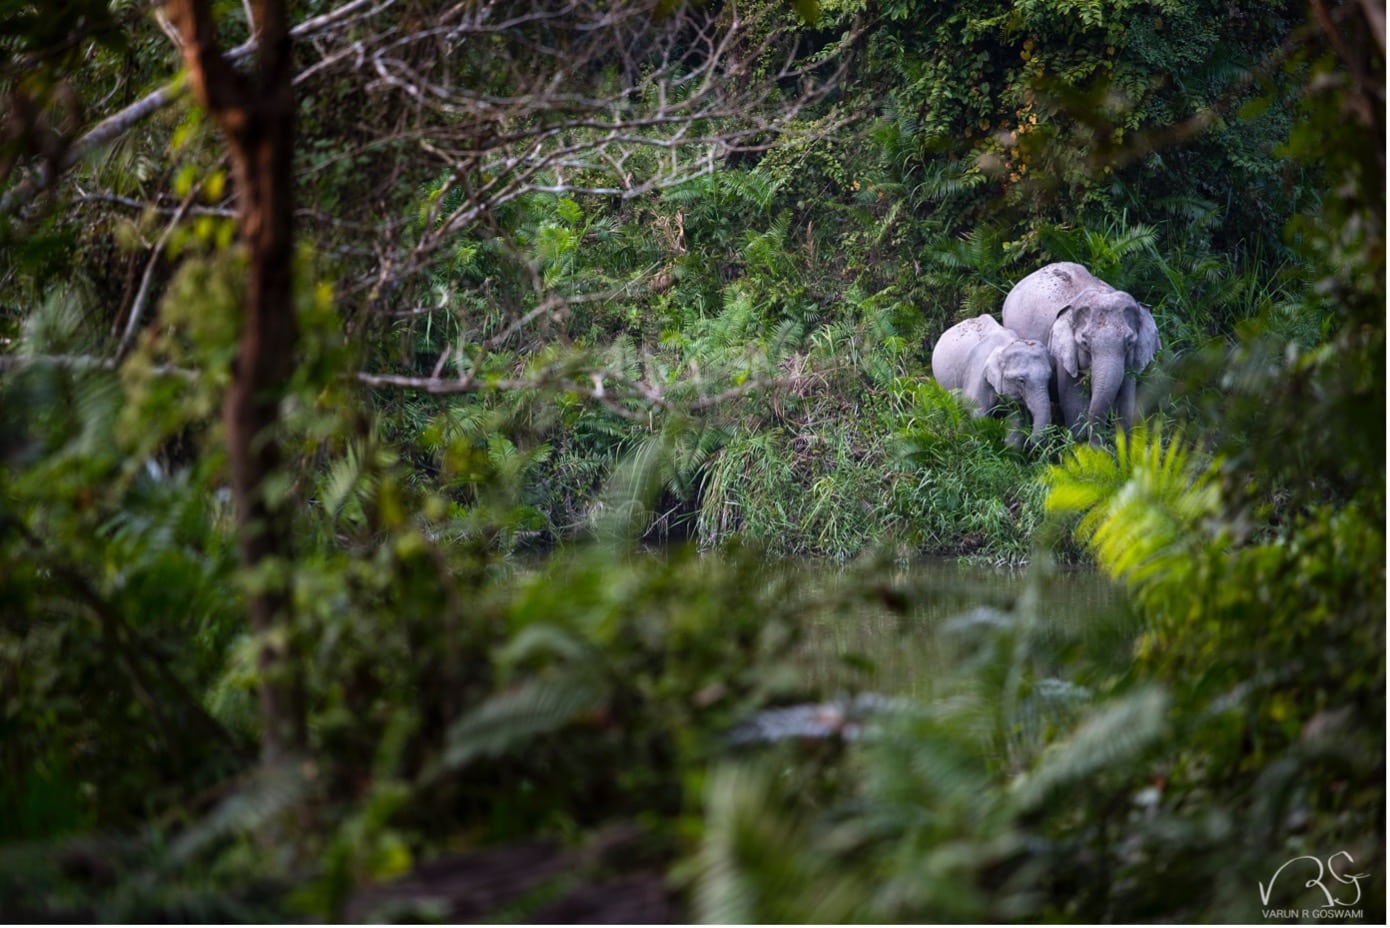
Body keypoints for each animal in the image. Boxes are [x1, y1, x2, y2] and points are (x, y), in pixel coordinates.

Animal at [931, 314, 1053, 448]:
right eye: (1021, 380)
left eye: (1049, 377)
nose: (1030, 442)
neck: (1006, 346)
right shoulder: (977, 375)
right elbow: (978, 417)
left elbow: (1016, 421)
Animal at [1001, 262, 1159, 438]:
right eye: (1084, 343)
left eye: (1130, 342)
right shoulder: (1065, 358)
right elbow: (1073, 403)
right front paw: (1083, 442)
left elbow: (1126, 401)